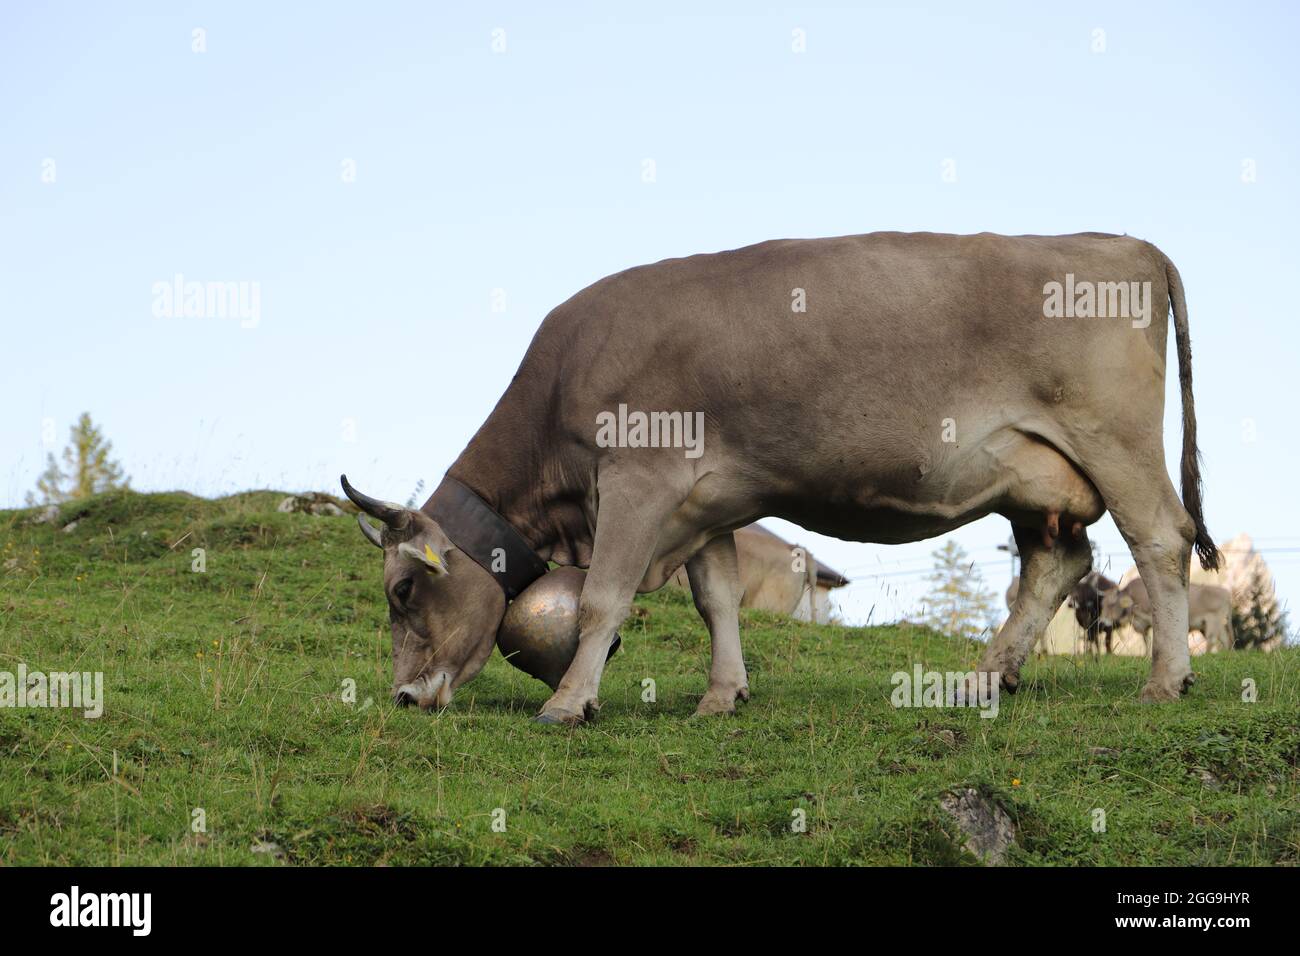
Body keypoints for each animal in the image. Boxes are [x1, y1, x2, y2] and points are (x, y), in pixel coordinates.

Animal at [341, 231, 1219, 723]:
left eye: (403, 590)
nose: (404, 698)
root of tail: (1123, 243)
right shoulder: (705, 502)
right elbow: (717, 600)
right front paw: (722, 694)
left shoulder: (636, 481)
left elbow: (602, 600)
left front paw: (567, 702)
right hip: (1035, 481)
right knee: (1055, 565)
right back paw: (983, 680)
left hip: (1115, 441)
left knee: (1160, 540)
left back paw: (1165, 681)